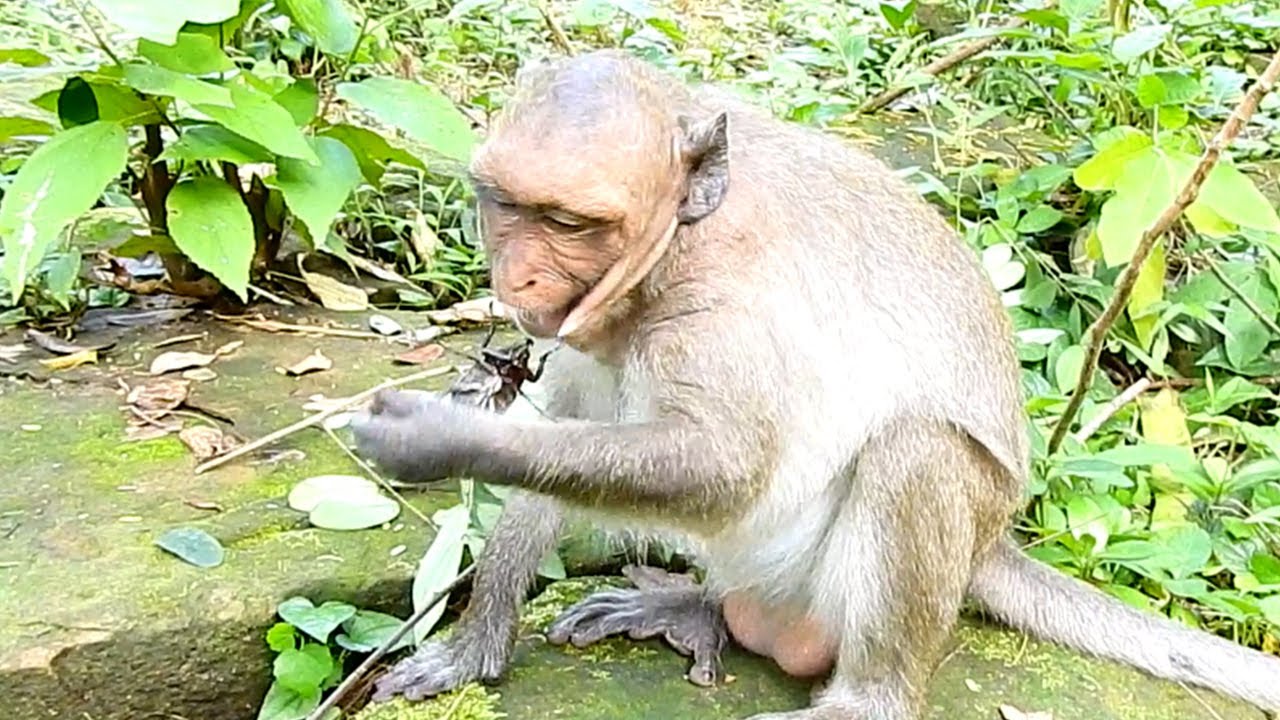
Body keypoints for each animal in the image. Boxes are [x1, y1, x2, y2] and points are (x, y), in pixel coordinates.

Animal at [351, 50, 1280, 719]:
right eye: (507, 204)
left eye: (572, 223)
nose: (520, 279)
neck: (678, 243)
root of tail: (987, 546)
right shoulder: (585, 332)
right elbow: (569, 425)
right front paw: (477, 642)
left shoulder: (727, 308)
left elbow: (726, 467)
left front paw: (440, 438)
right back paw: (701, 608)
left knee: (917, 452)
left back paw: (867, 700)